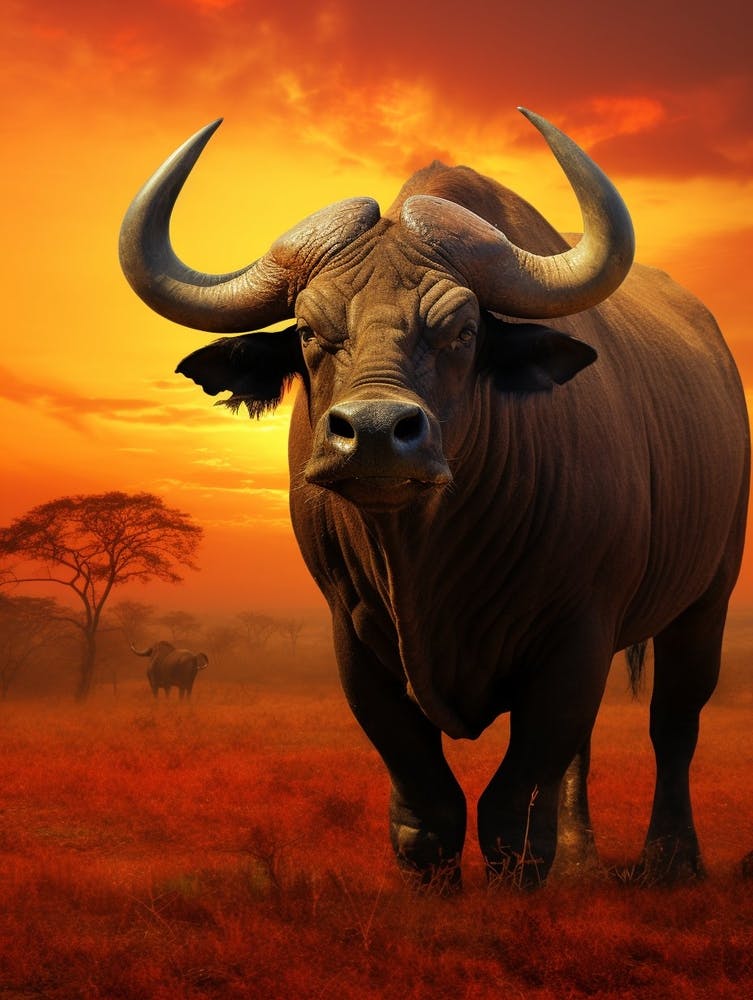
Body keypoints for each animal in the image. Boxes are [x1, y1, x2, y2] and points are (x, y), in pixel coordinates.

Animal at [119, 109, 749, 889]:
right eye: (309, 331)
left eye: (462, 330)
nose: (375, 433)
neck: (427, 561)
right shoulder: (354, 636)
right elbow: (427, 791)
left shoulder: (577, 632)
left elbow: (515, 798)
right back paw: (581, 858)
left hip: (709, 595)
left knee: (674, 720)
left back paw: (671, 858)